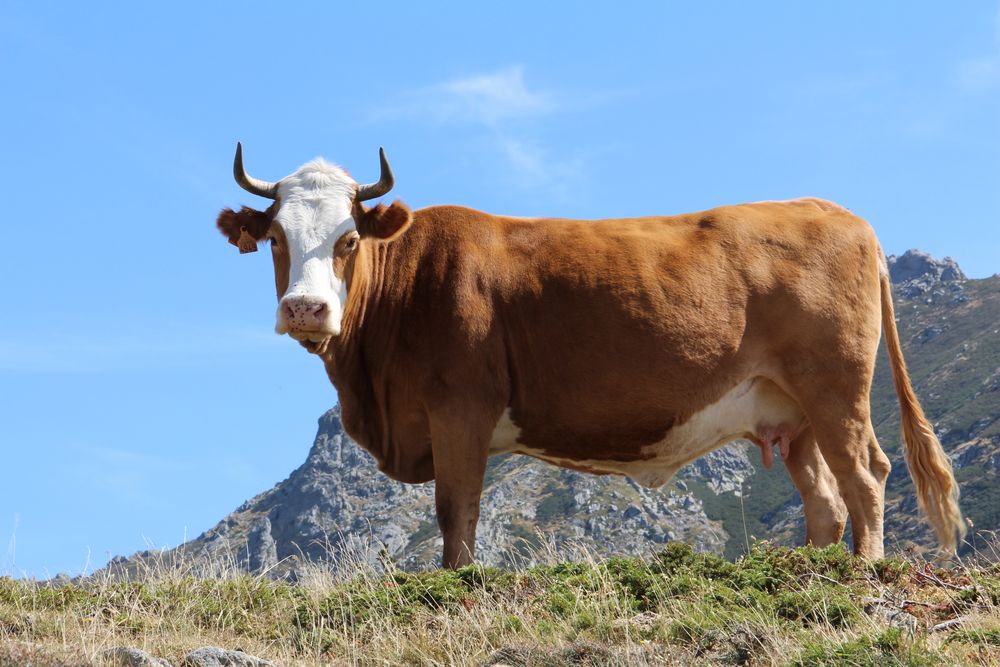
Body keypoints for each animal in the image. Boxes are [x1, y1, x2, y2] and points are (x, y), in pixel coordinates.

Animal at [216, 143, 964, 567]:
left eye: (348, 239)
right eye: (277, 237)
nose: (305, 309)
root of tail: (837, 212)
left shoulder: (460, 409)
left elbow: (457, 516)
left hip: (836, 389)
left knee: (867, 476)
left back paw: (863, 575)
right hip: (788, 413)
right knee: (826, 501)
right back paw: (812, 577)